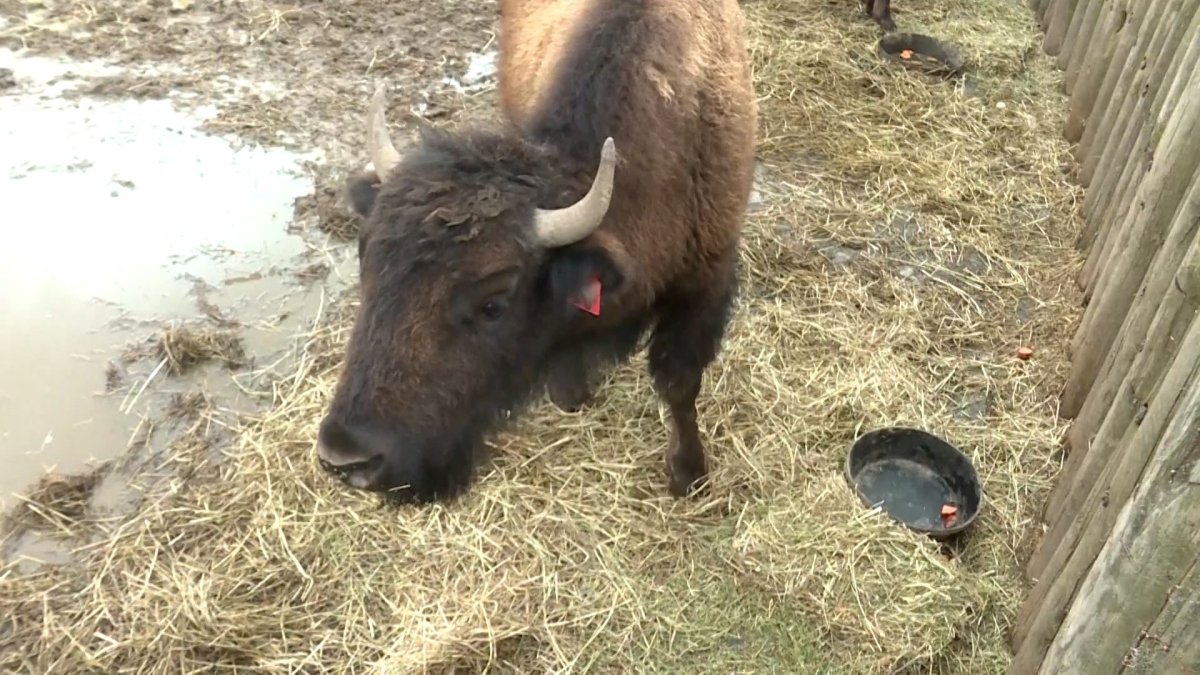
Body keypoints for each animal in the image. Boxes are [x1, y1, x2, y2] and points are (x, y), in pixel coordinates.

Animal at [315, 0, 758, 504]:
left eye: (493, 304)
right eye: (366, 267)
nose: (347, 456)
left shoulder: (706, 281)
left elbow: (680, 384)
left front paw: (688, 476)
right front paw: (572, 393)